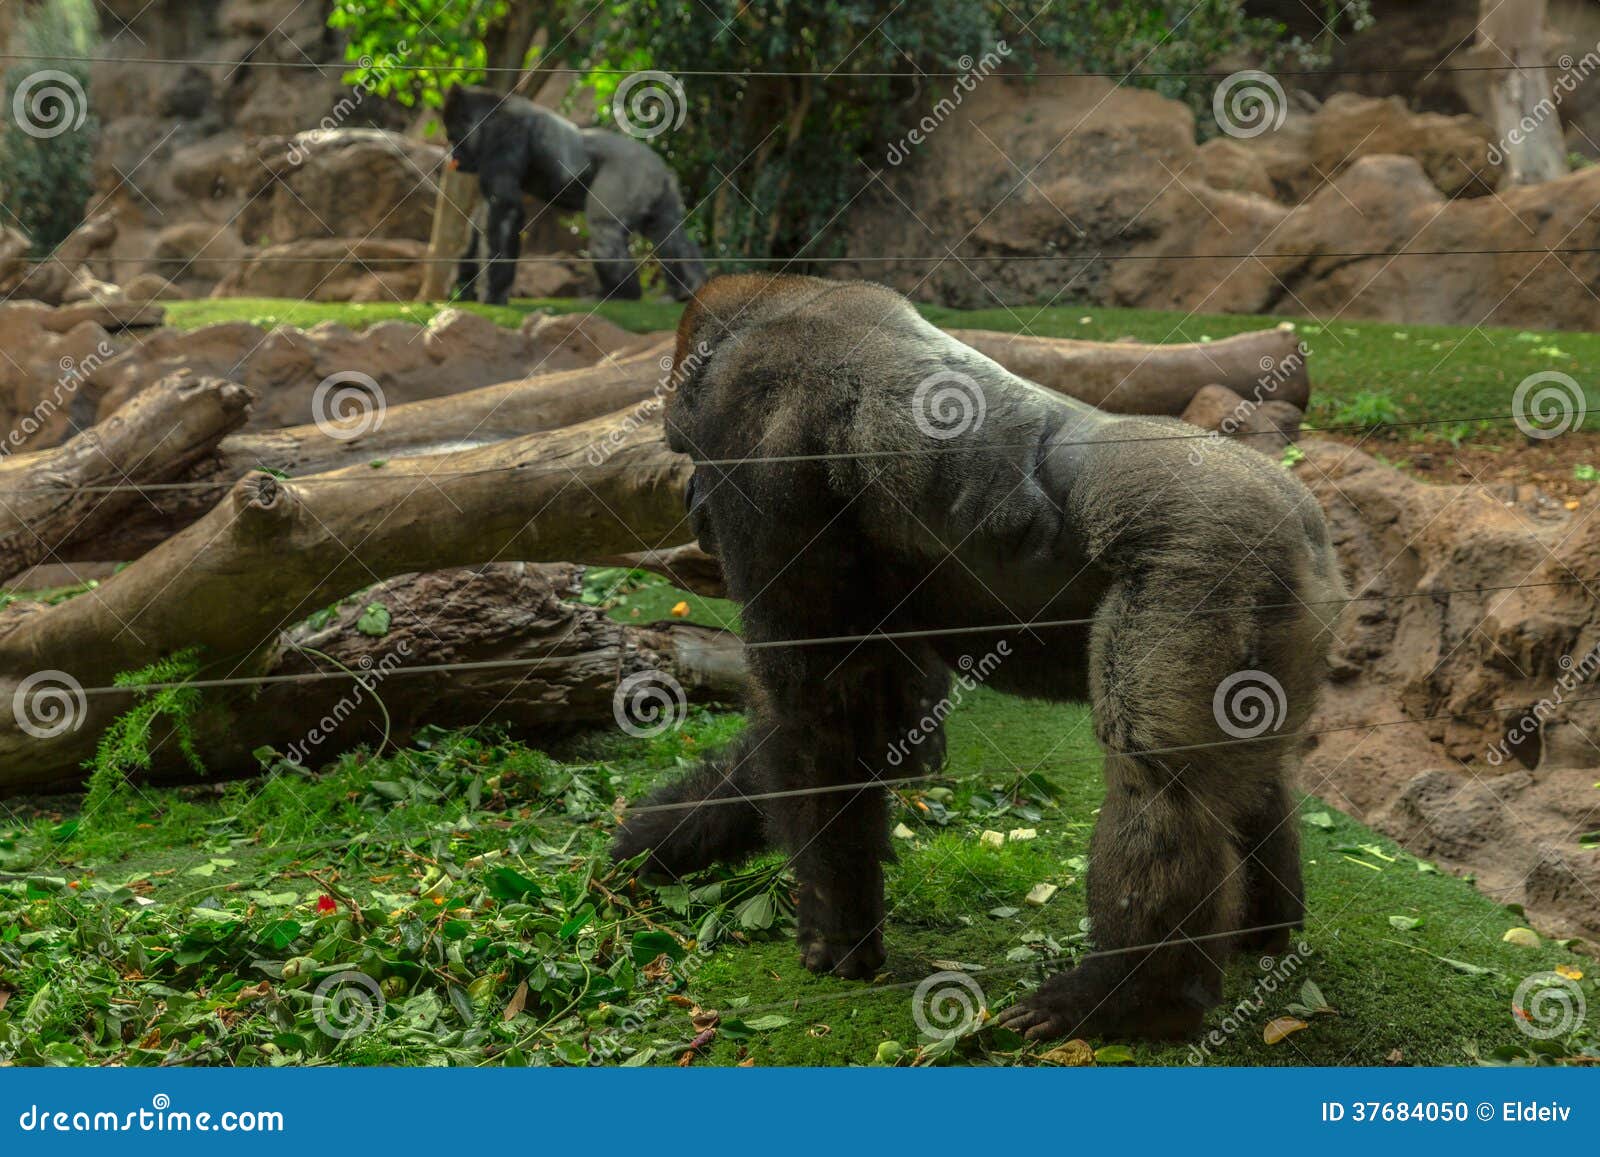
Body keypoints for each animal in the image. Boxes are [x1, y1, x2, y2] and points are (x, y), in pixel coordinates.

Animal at [442, 85, 707, 305]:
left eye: (453, 137)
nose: (453, 156)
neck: (488, 114)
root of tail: (659, 165)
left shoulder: (503, 133)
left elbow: (505, 208)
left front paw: (494, 293)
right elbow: (482, 217)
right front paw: (464, 285)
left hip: (631, 172)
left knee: (604, 230)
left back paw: (621, 293)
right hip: (661, 187)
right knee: (668, 232)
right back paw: (688, 288)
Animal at [610, 274, 1345, 1041]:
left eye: (687, 451)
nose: (691, 500)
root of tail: (1308, 524)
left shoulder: (757, 437)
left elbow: (812, 708)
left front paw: (834, 931)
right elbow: (881, 726)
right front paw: (670, 835)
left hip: (1208, 557)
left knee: (1160, 781)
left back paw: (1131, 994)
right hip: (1283, 610)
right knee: (1247, 772)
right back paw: (1263, 928)